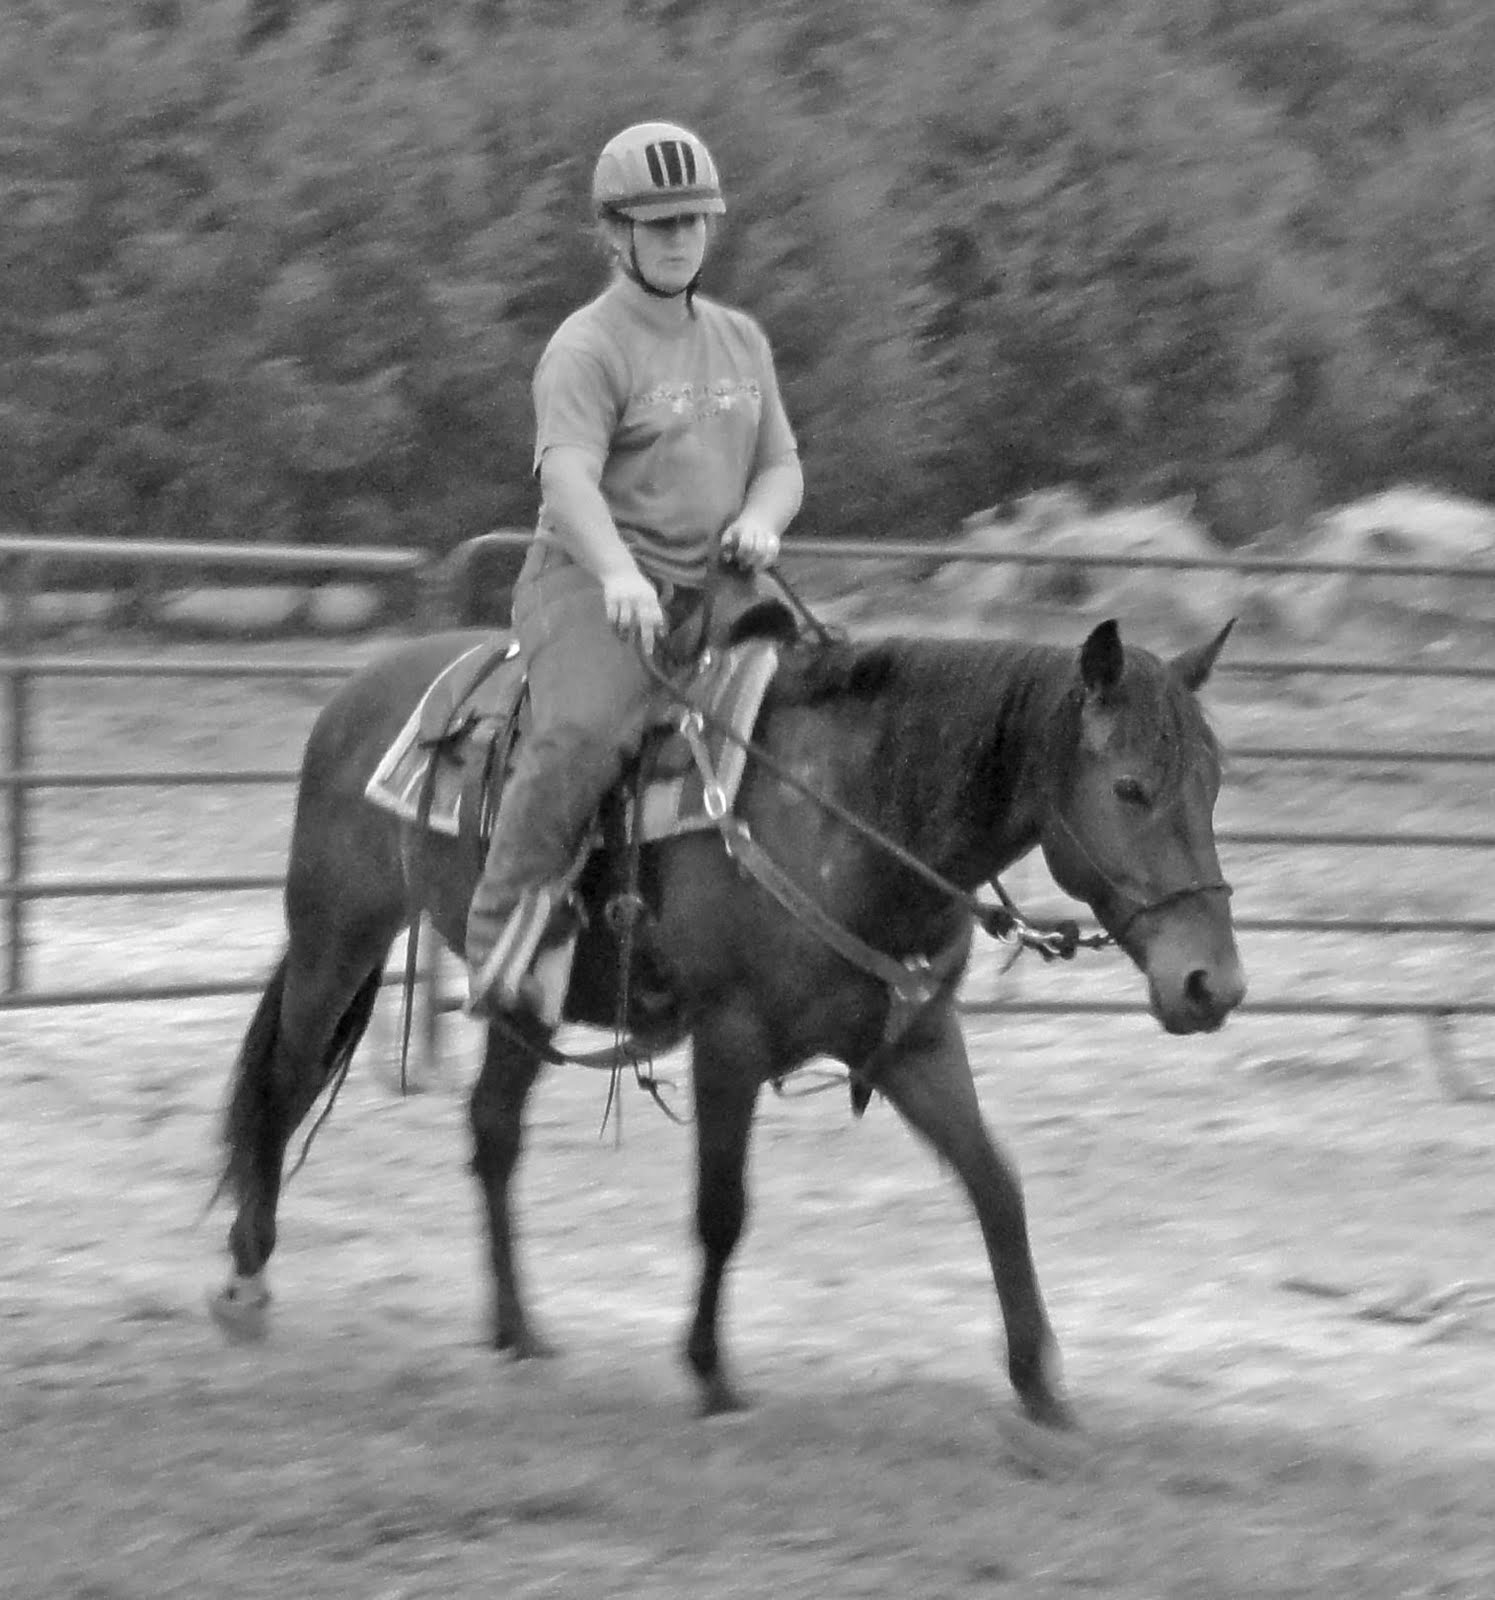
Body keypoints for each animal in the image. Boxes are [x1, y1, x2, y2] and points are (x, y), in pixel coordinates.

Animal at [210, 613, 1245, 1430]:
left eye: (1213, 782)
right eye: (1129, 788)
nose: (1213, 985)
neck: (851, 813)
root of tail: (359, 693)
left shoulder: (913, 1042)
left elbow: (996, 1188)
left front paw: (1038, 1382)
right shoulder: (730, 1044)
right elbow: (722, 1209)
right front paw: (709, 1374)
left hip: (519, 995)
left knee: (491, 1131)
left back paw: (517, 1330)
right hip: (337, 936)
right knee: (285, 1083)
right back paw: (248, 1279)